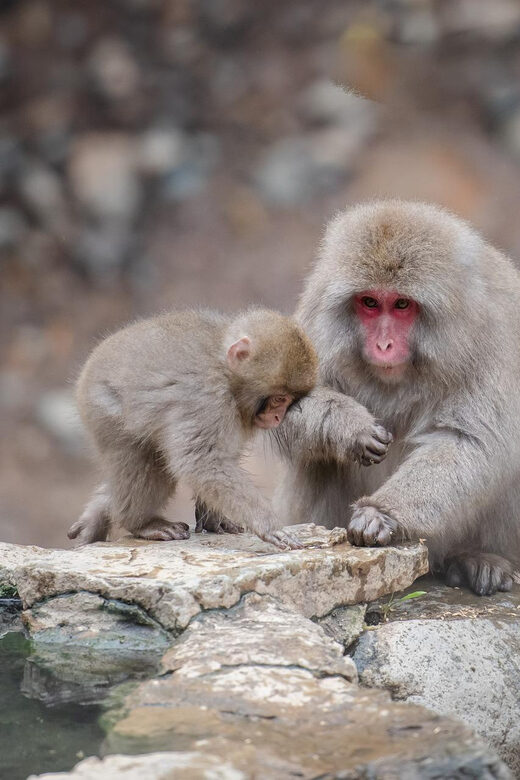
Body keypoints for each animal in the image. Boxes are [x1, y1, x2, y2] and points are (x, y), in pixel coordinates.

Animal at [68, 307, 388, 550]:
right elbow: (202, 461)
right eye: (279, 399)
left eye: (290, 402)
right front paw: (266, 524)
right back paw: (142, 523)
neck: (227, 373)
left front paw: (214, 518)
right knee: (146, 465)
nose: (277, 417)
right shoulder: (206, 398)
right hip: (104, 411)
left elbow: (222, 459)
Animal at [273, 200, 520, 595]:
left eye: (402, 304)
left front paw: (380, 513)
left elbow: (471, 441)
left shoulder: (490, 337)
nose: (384, 345)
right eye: (370, 302)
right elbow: (278, 405)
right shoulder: (316, 319)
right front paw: (351, 428)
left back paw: (479, 558)